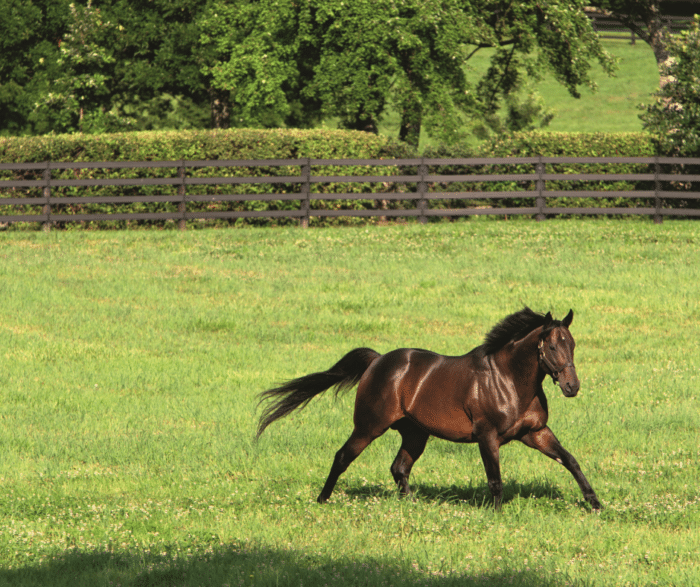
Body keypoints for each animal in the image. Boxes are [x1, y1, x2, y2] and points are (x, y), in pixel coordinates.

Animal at [257, 307, 602, 511]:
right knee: (343, 457)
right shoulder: (487, 436)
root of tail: (377, 361)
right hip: (368, 426)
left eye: (572, 344)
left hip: (415, 434)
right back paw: (323, 499)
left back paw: (412, 504)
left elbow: (571, 461)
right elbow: (495, 478)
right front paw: (497, 513)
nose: (572, 386)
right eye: (552, 346)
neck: (509, 381)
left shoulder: (536, 432)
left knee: (399, 468)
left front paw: (595, 503)